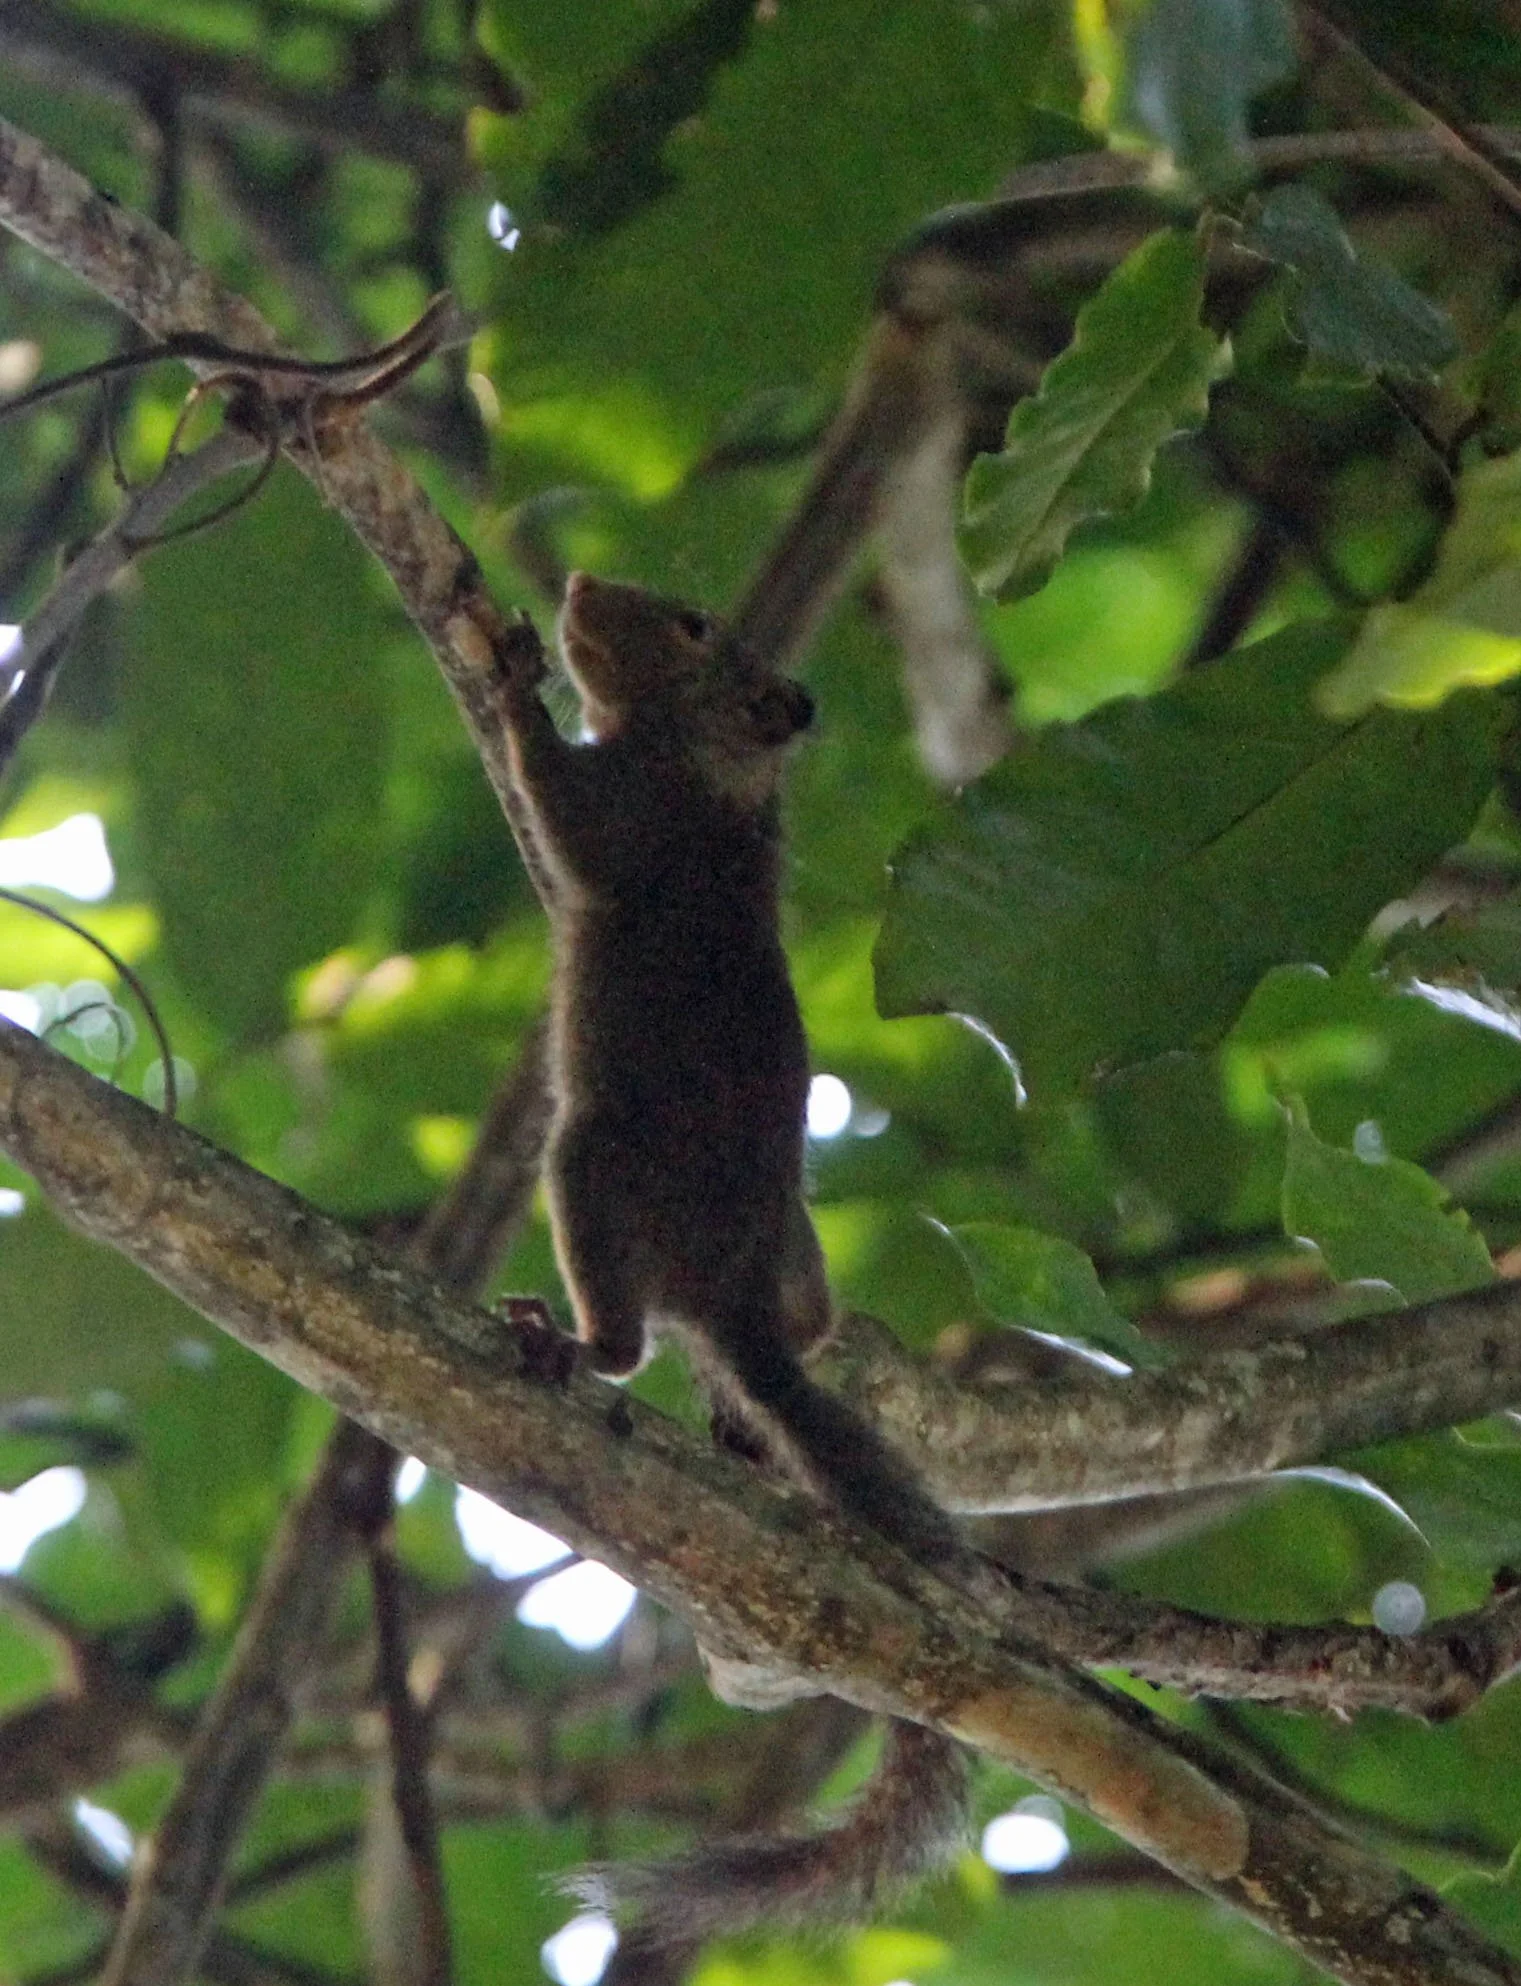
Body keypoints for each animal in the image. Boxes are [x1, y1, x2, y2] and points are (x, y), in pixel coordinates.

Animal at [496, 571, 970, 1939]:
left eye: (695, 625)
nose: (576, 585)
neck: (724, 770)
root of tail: (739, 1302)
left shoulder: (638, 809)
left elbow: (567, 820)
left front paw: (509, 678)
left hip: (588, 1169)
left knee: (624, 1336)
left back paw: (572, 1343)